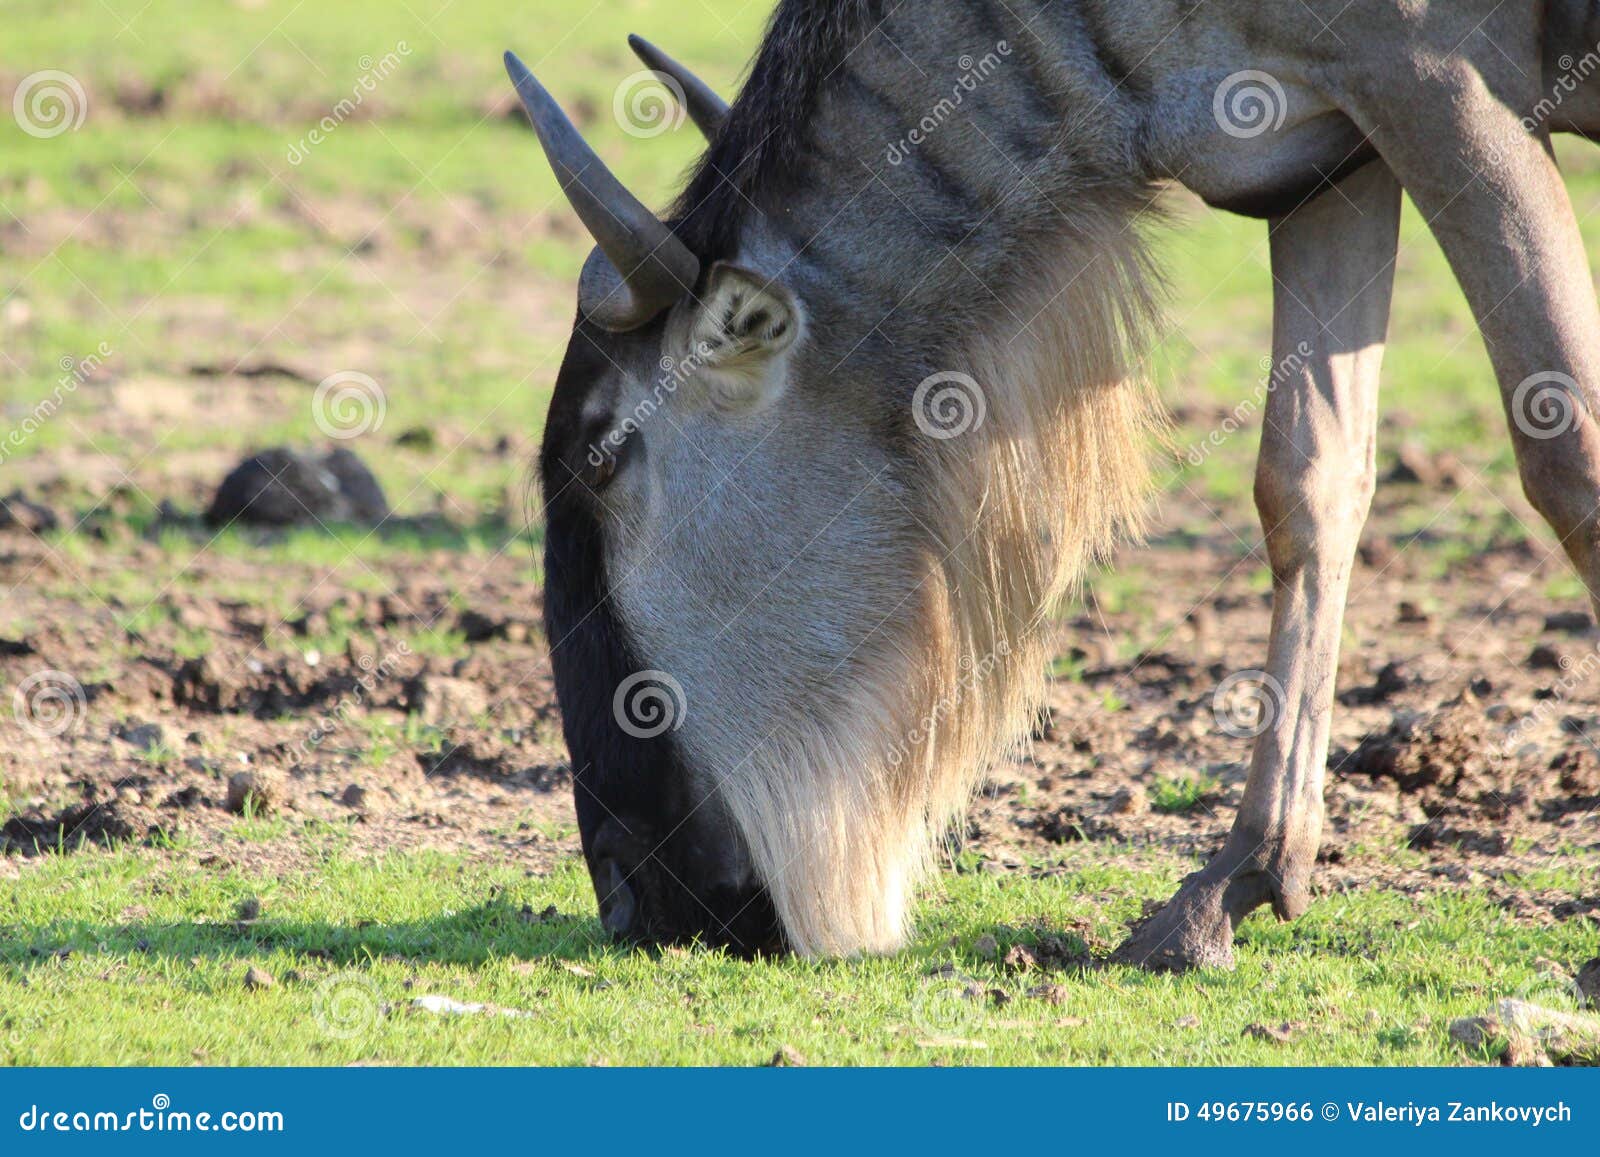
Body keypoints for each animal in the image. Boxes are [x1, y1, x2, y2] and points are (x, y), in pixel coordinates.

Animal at [508, 0, 1600, 969]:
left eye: (599, 457)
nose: (628, 896)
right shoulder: (1330, 153)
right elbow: (1309, 480)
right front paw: (1231, 884)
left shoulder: (1443, 86)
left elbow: (1568, 453)